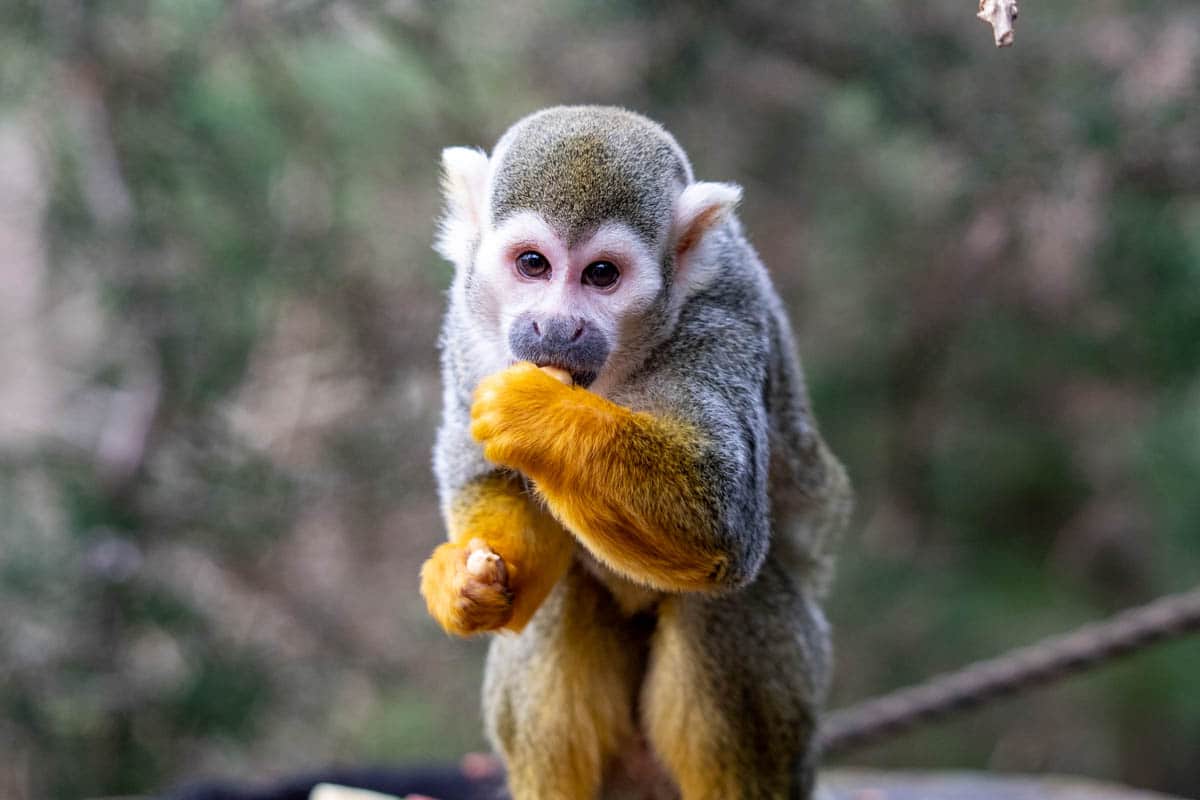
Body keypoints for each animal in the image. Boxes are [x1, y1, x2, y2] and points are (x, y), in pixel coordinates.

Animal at [418, 106, 851, 800]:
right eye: (533, 264)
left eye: (602, 275)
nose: (555, 327)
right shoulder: (468, 325)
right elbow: (489, 482)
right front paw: (467, 581)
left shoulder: (720, 320)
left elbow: (720, 512)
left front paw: (535, 413)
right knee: (560, 601)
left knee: (728, 596)